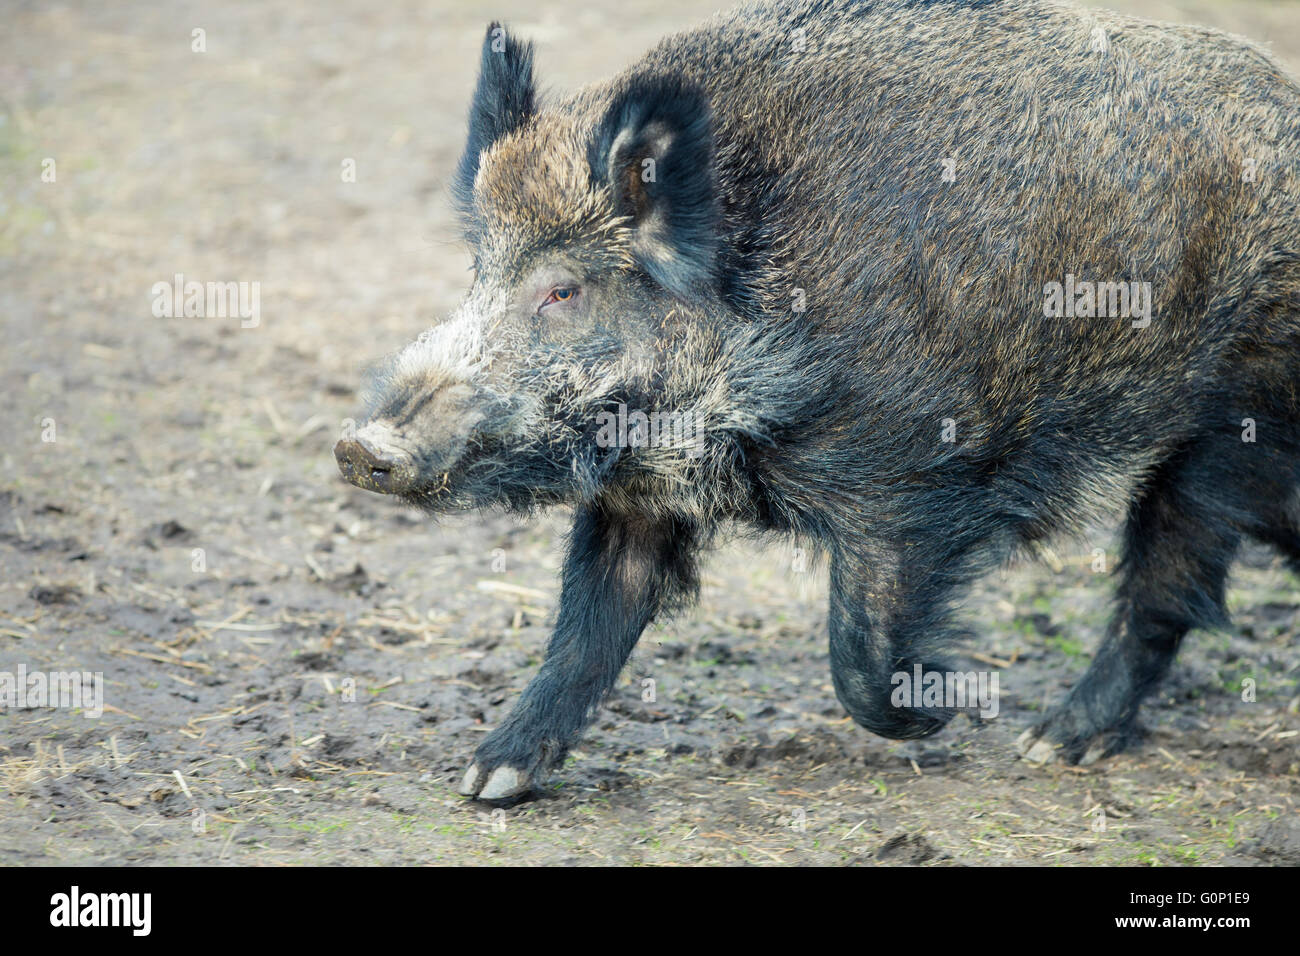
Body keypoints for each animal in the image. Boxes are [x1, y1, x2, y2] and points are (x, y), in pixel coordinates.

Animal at [335, 0, 1300, 801]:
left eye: (563, 290)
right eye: (479, 270)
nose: (359, 448)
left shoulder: (911, 487)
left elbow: (859, 651)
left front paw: (945, 708)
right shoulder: (639, 498)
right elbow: (590, 625)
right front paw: (485, 780)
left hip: (1224, 437)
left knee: (1163, 588)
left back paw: (1048, 744)